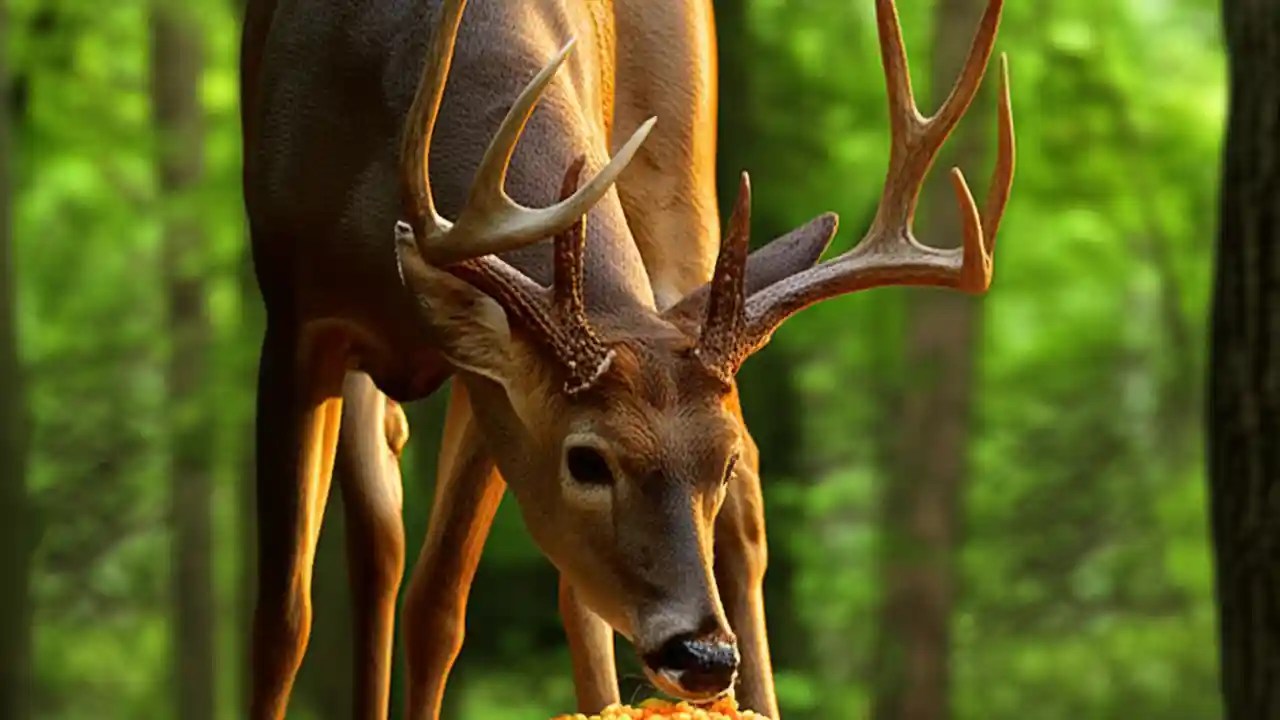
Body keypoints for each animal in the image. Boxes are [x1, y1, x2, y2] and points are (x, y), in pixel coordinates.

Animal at [237, 0, 1014, 717]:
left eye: (719, 462)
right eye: (587, 460)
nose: (703, 655)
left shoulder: (492, 380)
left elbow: (438, 608)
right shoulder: (297, 320)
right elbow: (283, 620)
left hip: (683, 190)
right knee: (387, 542)